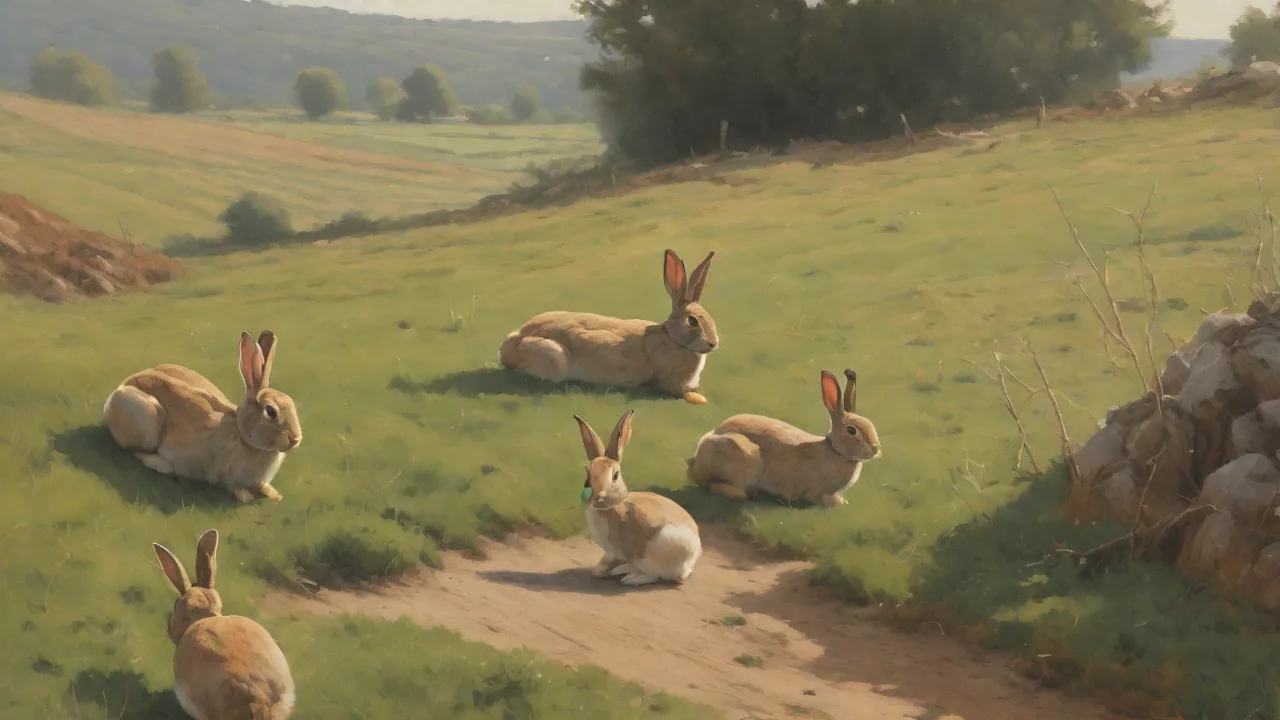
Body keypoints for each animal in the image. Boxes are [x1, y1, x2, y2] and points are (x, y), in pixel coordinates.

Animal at [104, 330, 302, 503]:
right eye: (271, 411)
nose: (296, 439)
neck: (243, 435)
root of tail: (120, 388)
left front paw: (275, 495)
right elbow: (231, 486)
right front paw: (246, 496)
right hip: (147, 419)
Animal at [500, 249, 719, 404]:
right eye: (692, 321)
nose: (713, 343)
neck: (672, 338)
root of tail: (511, 345)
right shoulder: (669, 383)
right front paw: (701, 399)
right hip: (551, 354)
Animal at [575, 410, 703, 585]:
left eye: (615, 476)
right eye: (587, 477)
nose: (598, 497)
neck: (614, 506)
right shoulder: (611, 552)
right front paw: (599, 570)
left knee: (662, 575)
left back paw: (630, 578)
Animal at [687, 369, 882, 507]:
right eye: (852, 430)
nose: (875, 449)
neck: (835, 450)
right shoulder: (818, 492)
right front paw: (843, 504)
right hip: (742, 455)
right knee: (713, 486)